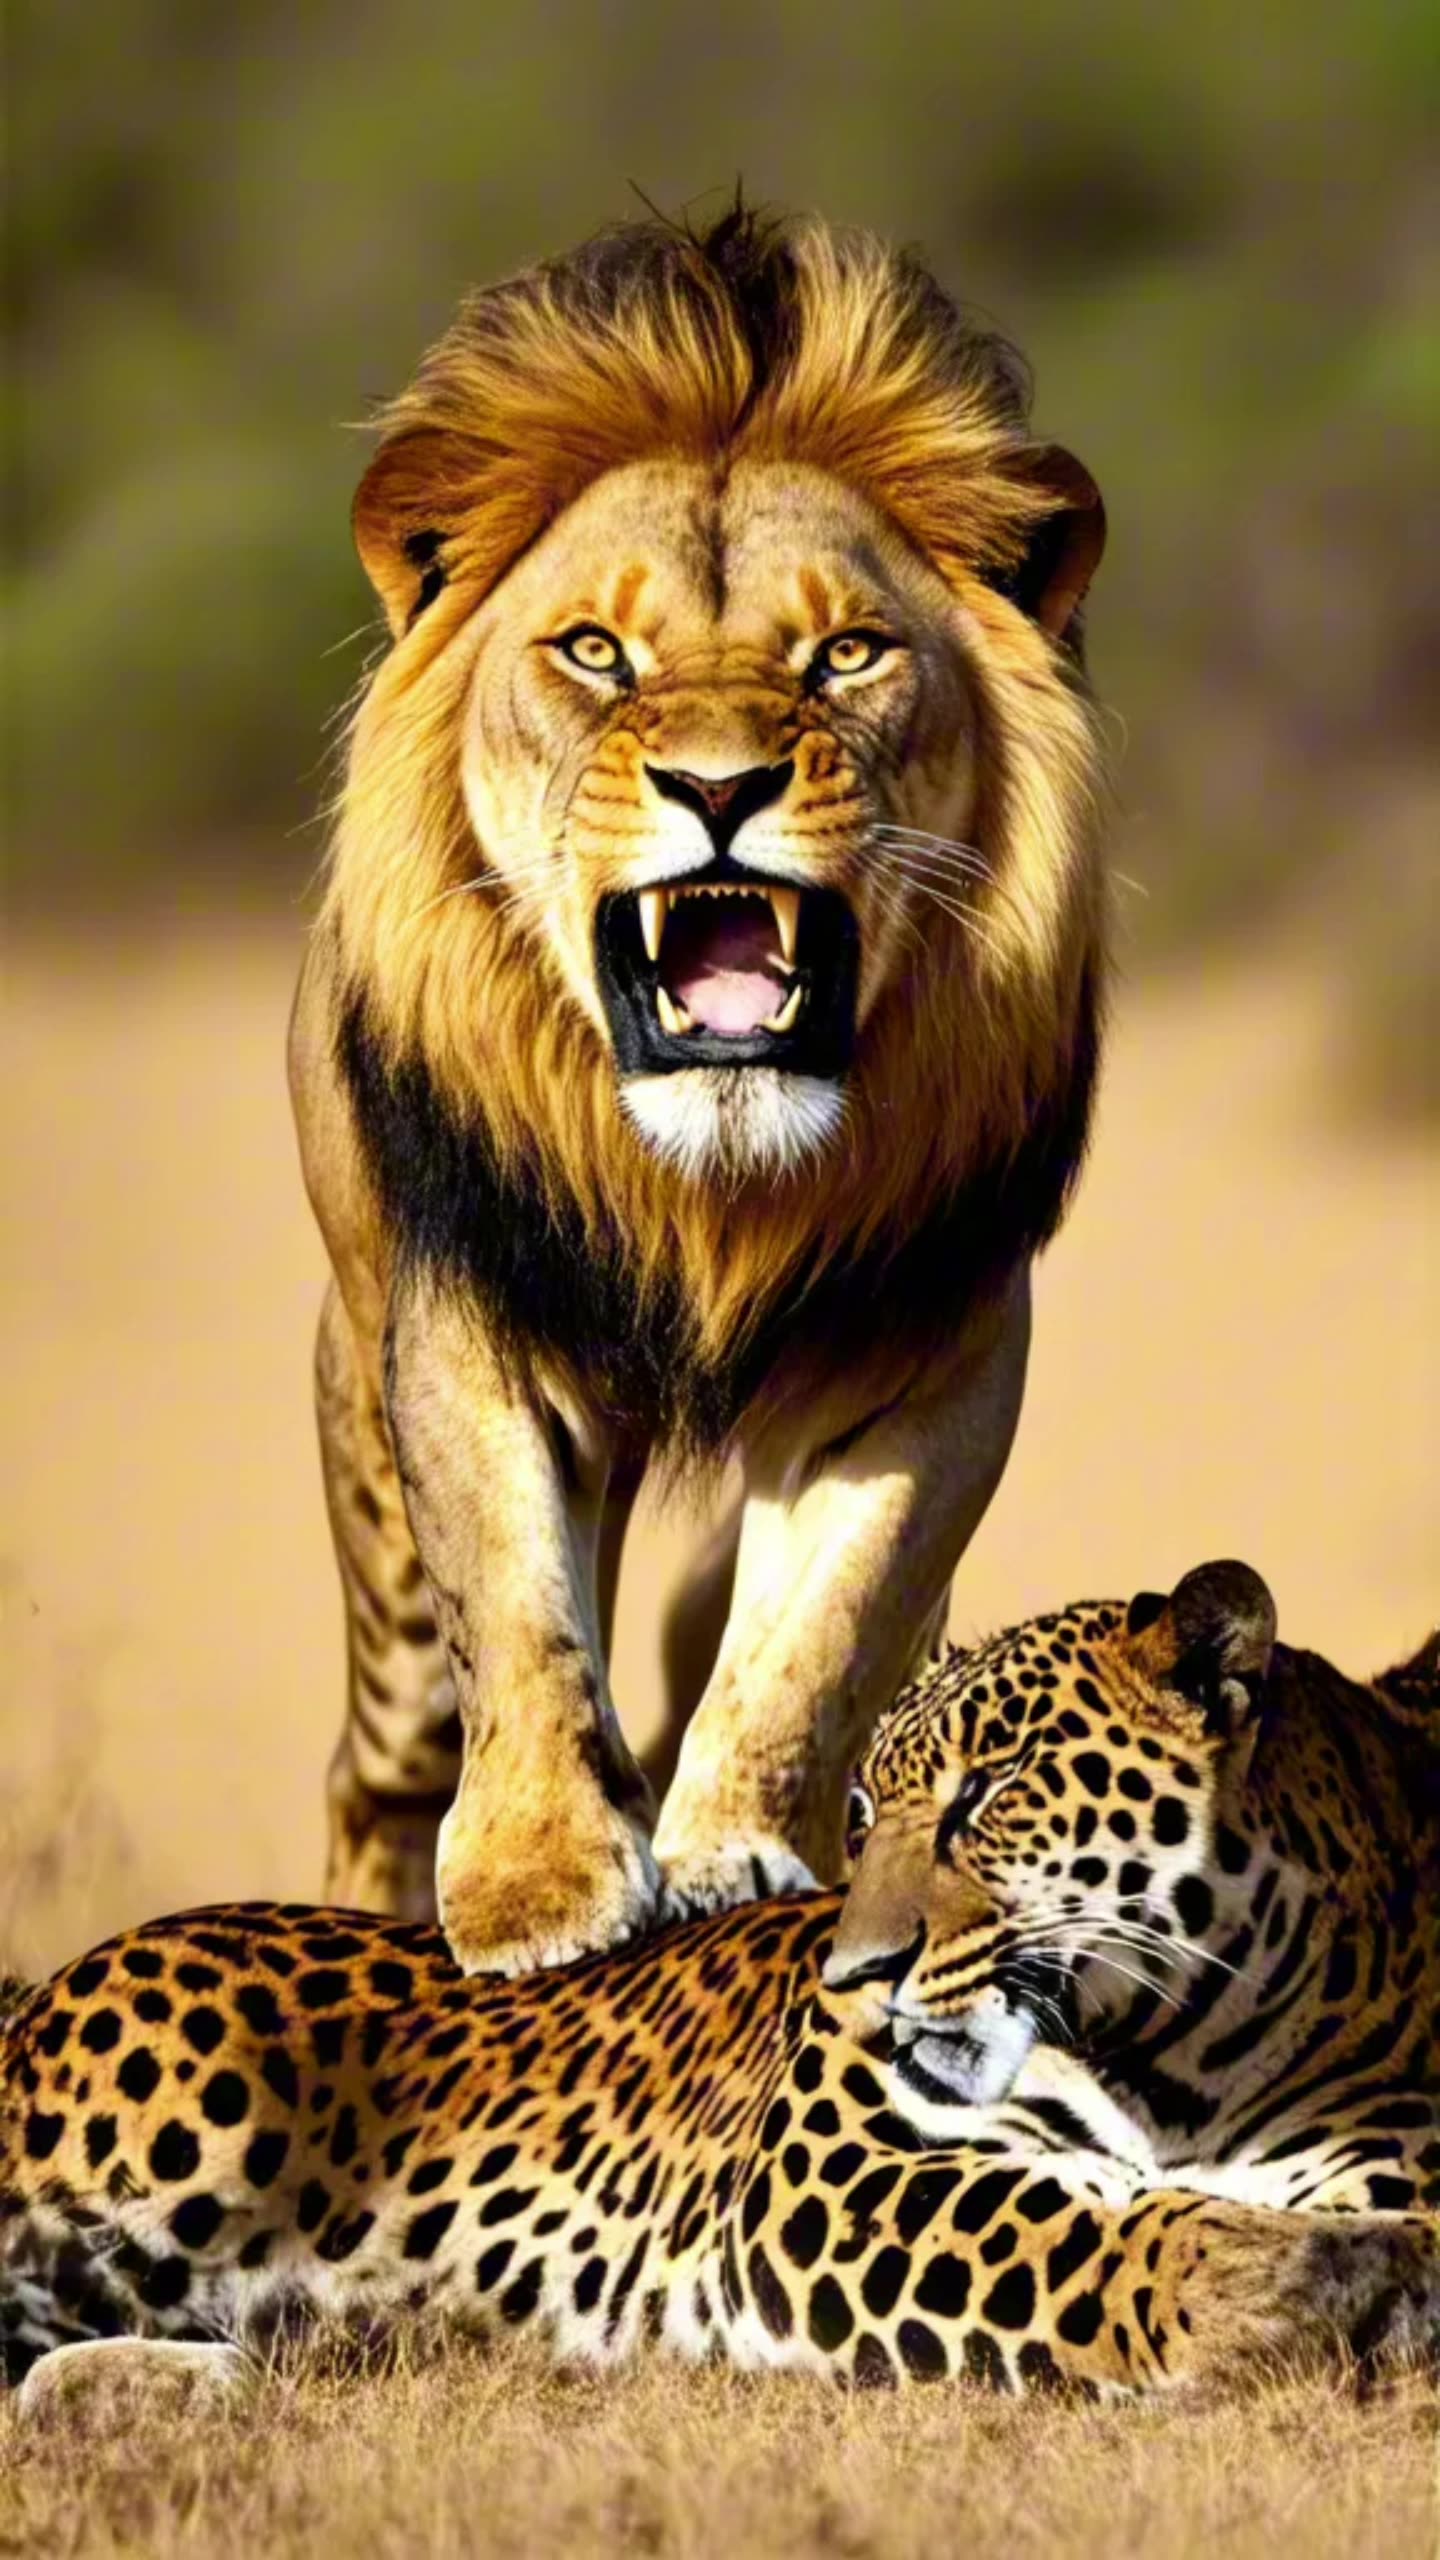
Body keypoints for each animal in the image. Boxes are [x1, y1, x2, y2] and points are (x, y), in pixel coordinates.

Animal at [3, 1568, 1436, 2414]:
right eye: (862, 1812)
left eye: (988, 1793)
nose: (860, 1975)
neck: (1178, 2065)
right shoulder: (836, 2176)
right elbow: (1099, 2235)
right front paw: (1314, 2281)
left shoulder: (1383, 2151)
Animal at [289, 203, 1110, 1975]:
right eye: (596, 653)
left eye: (848, 654)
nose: (718, 785)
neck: (709, 1188)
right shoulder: (474, 1321)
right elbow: (519, 1611)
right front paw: (539, 1890)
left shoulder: (932, 1359)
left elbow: (815, 1643)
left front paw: (734, 1849)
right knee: (381, 1764)